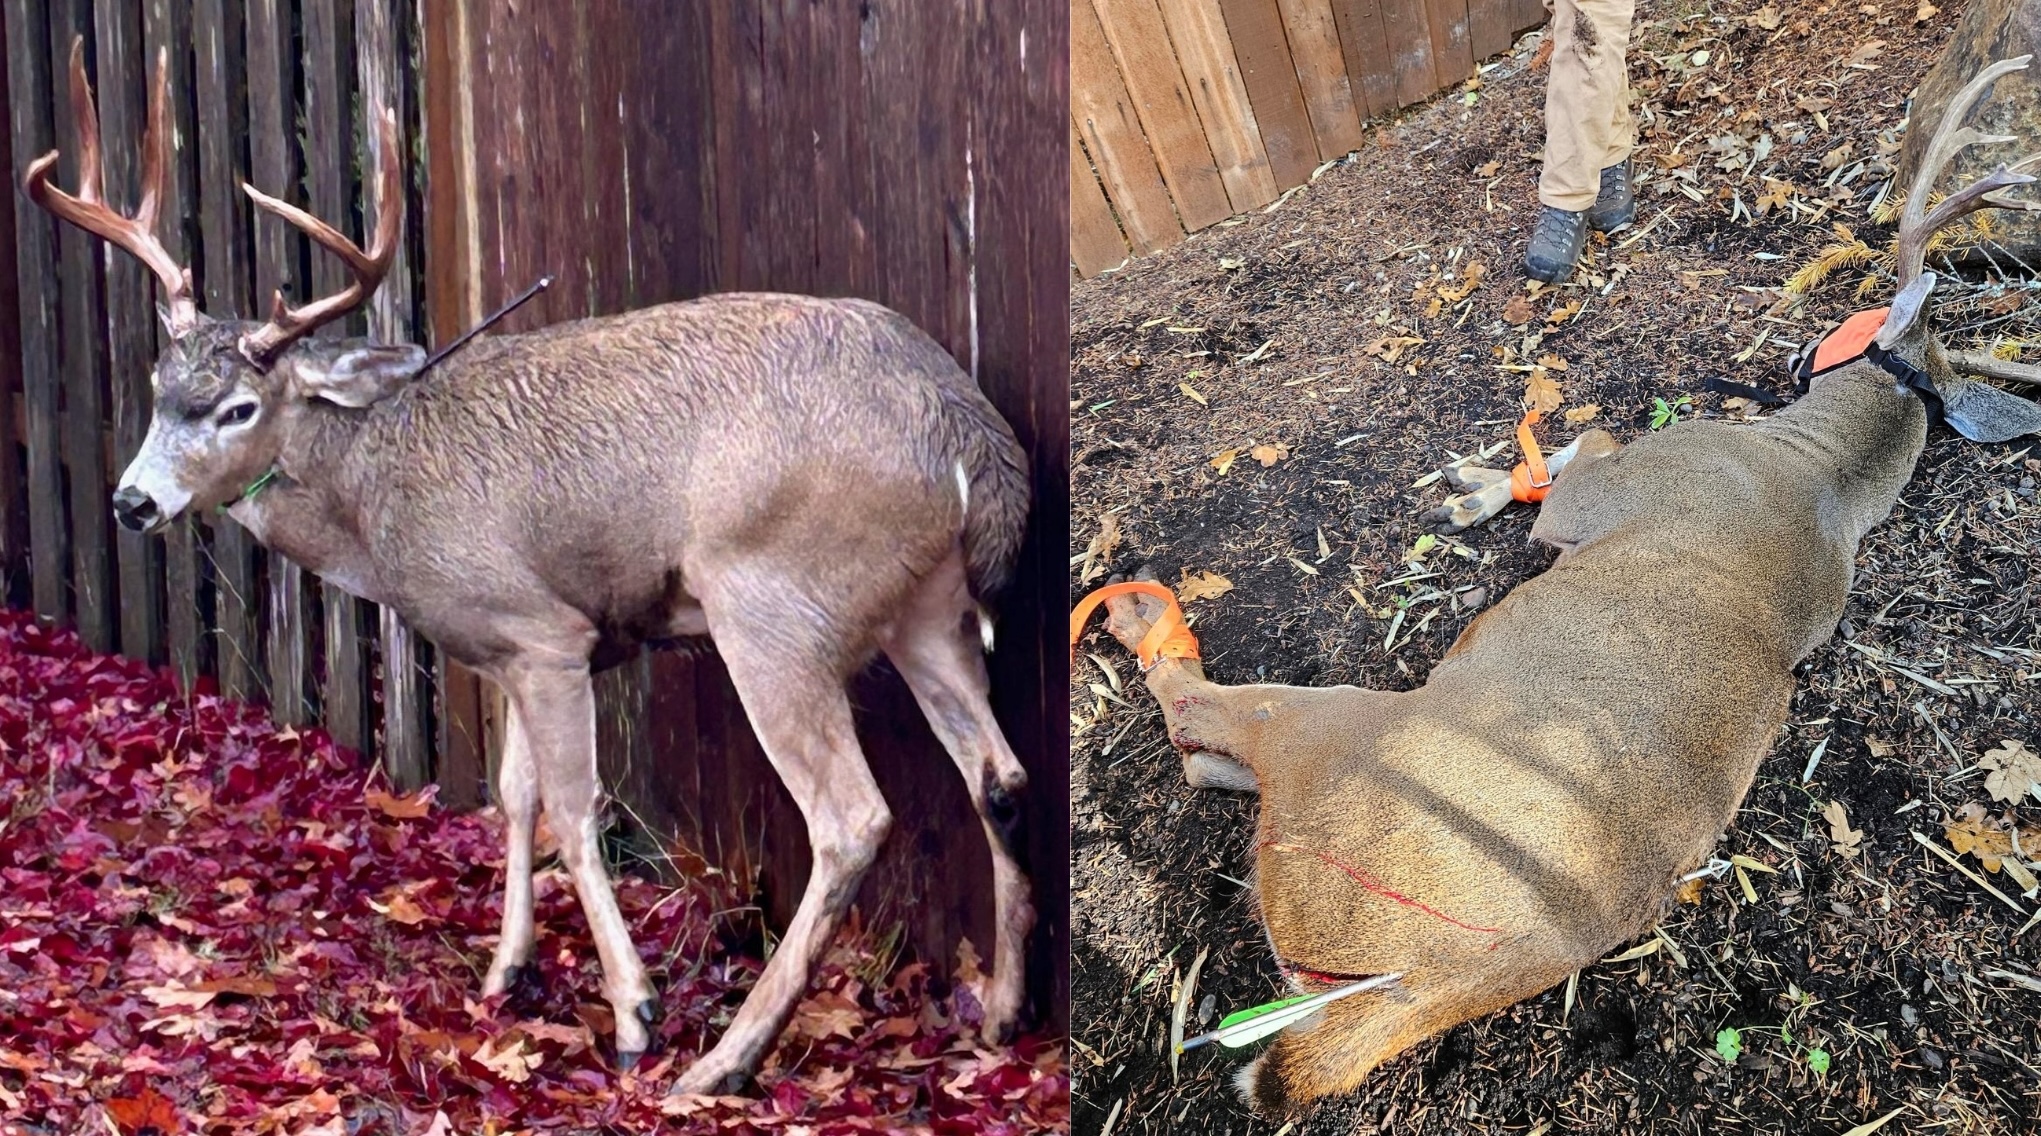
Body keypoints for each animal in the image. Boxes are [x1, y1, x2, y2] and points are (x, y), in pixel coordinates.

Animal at [23, 40, 1033, 1094]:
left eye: (237, 410)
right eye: (156, 387)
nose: (133, 502)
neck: (377, 497)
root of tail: (966, 435)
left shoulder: (548, 633)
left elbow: (575, 812)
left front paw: (632, 1011)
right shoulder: (503, 649)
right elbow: (516, 798)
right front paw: (507, 972)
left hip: (772, 602)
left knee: (849, 819)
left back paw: (721, 1061)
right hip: (929, 607)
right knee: (998, 774)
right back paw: (1000, 1012)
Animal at [1074, 56, 2041, 1115]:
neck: (1817, 474)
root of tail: (1409, 984)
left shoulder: (1610, 488)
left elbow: (1583, 450)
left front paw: (1469, 489)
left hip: (1328, 737)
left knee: (1197, 717)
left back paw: (1132, 609)